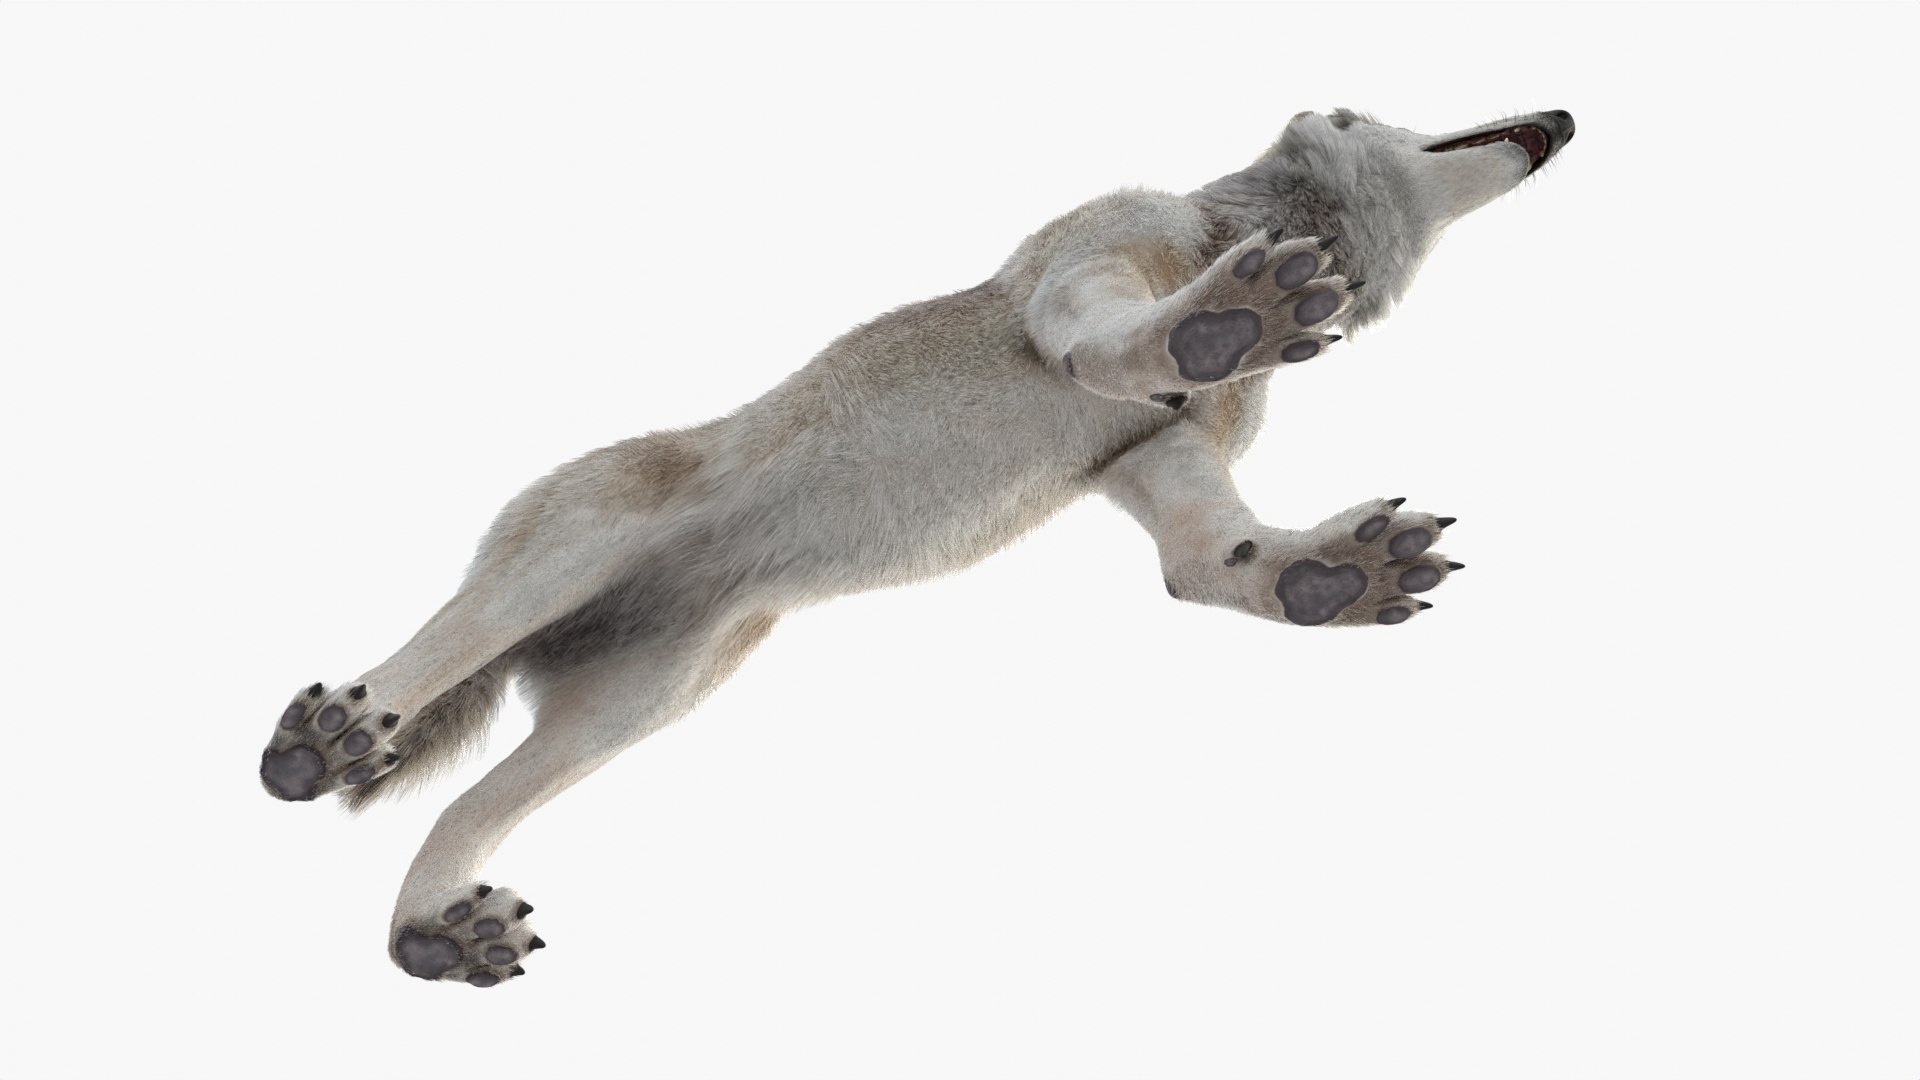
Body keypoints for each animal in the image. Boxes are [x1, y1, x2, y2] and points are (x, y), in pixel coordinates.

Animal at [259, 107, 1574, 986]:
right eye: (1402, 120)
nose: (1560, 120)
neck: (1272, 229)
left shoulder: (1162, 469)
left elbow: (1220, 562)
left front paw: (1333, 574)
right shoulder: (1087, 263)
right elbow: (1112, 339)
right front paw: (1223, 321)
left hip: (634, 711)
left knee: (461, 811)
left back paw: (433, 929)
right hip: (568, 554)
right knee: (421, 663)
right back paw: (326, 738)